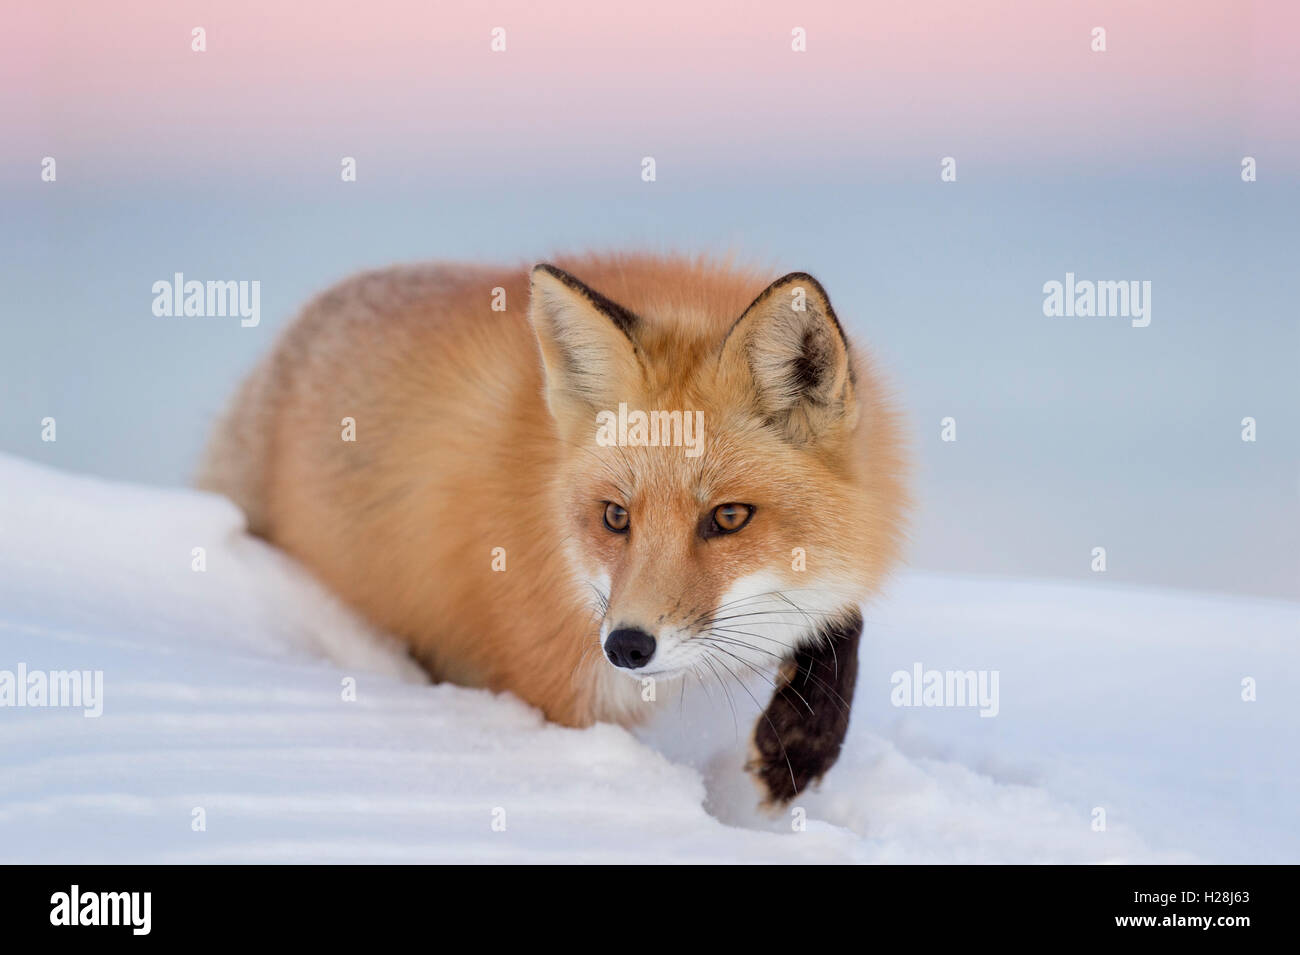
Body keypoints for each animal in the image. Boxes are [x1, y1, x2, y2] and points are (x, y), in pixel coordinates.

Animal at [196, 253, 908, 805]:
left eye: (729, 517)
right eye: (616, 517)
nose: (626, 646)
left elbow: (841, 618)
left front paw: (798, 750)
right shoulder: (556, 685)